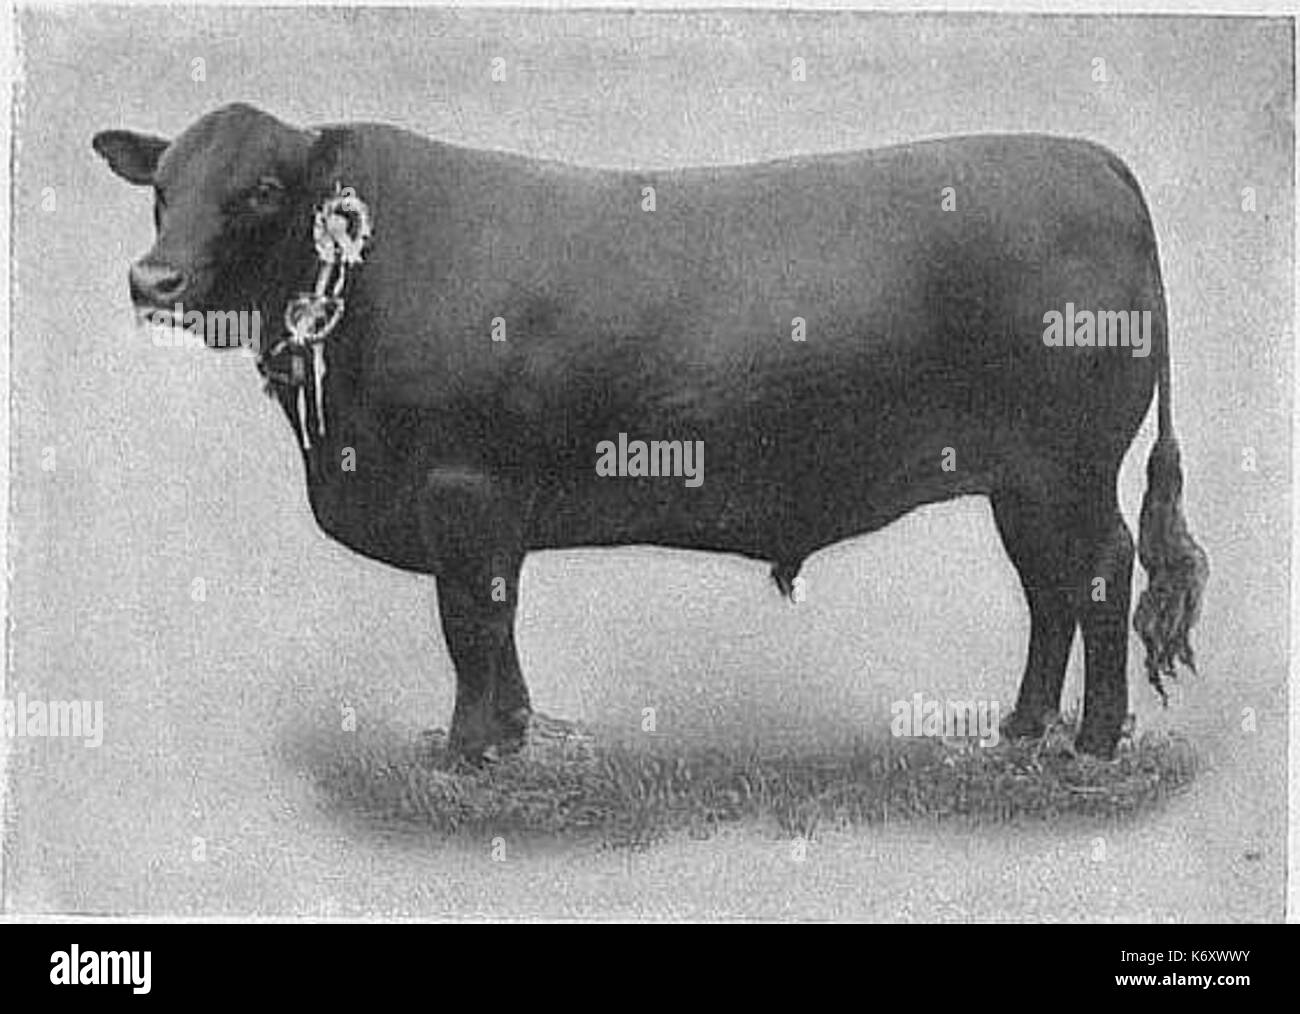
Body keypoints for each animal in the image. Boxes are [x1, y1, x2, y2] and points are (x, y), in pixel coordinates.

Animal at [93, 103, 1208, 762]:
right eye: (160, 190)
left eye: (260, 189)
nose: (152, 280)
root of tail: (1087, 157)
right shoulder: (491, 511)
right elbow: (499, 624)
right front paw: (514, 736)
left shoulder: (462, 489)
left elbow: (468, 624)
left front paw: (464, 756)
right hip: (1021, 481)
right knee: (1051, 589)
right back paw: (1022, 732)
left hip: (1067, 467)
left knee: (1099, 573)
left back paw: (1093, 744)